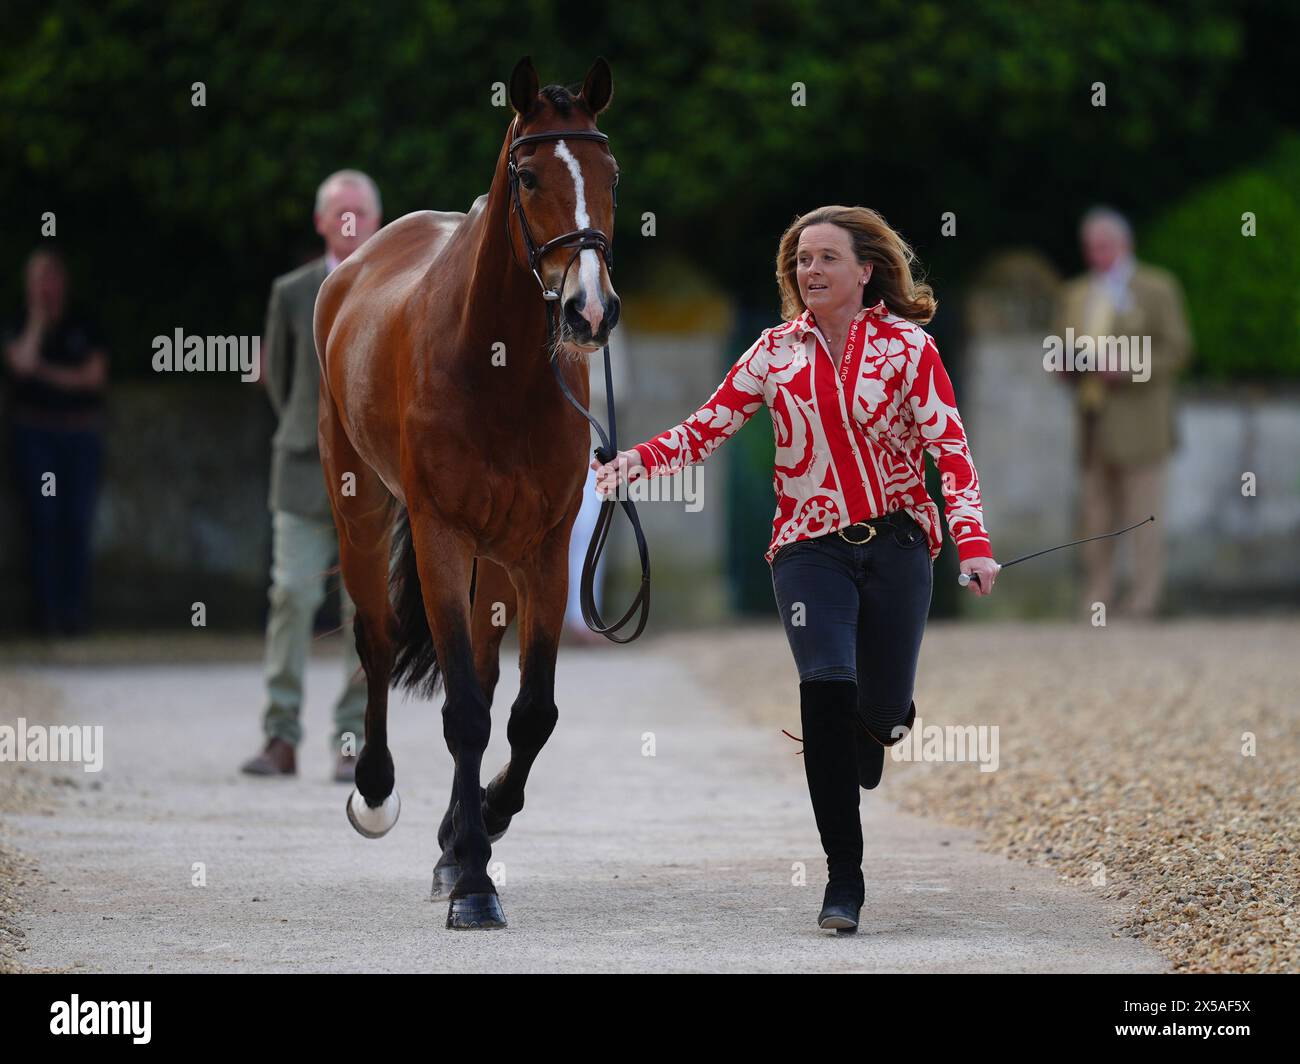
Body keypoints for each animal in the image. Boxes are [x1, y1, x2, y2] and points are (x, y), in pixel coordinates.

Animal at [313, 56, 621, 929]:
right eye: (528, 175)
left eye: (611, 174)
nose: (590, 309)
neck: (497, 369)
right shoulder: (441, 537)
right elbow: (464, 712)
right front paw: (476, 885)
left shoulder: (542, 549)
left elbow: (528, 711)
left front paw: (478, 826)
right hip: (361, 507)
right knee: (376, 638)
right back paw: (377, 792)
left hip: (497, 558)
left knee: (482, 672)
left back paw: (457, 835)